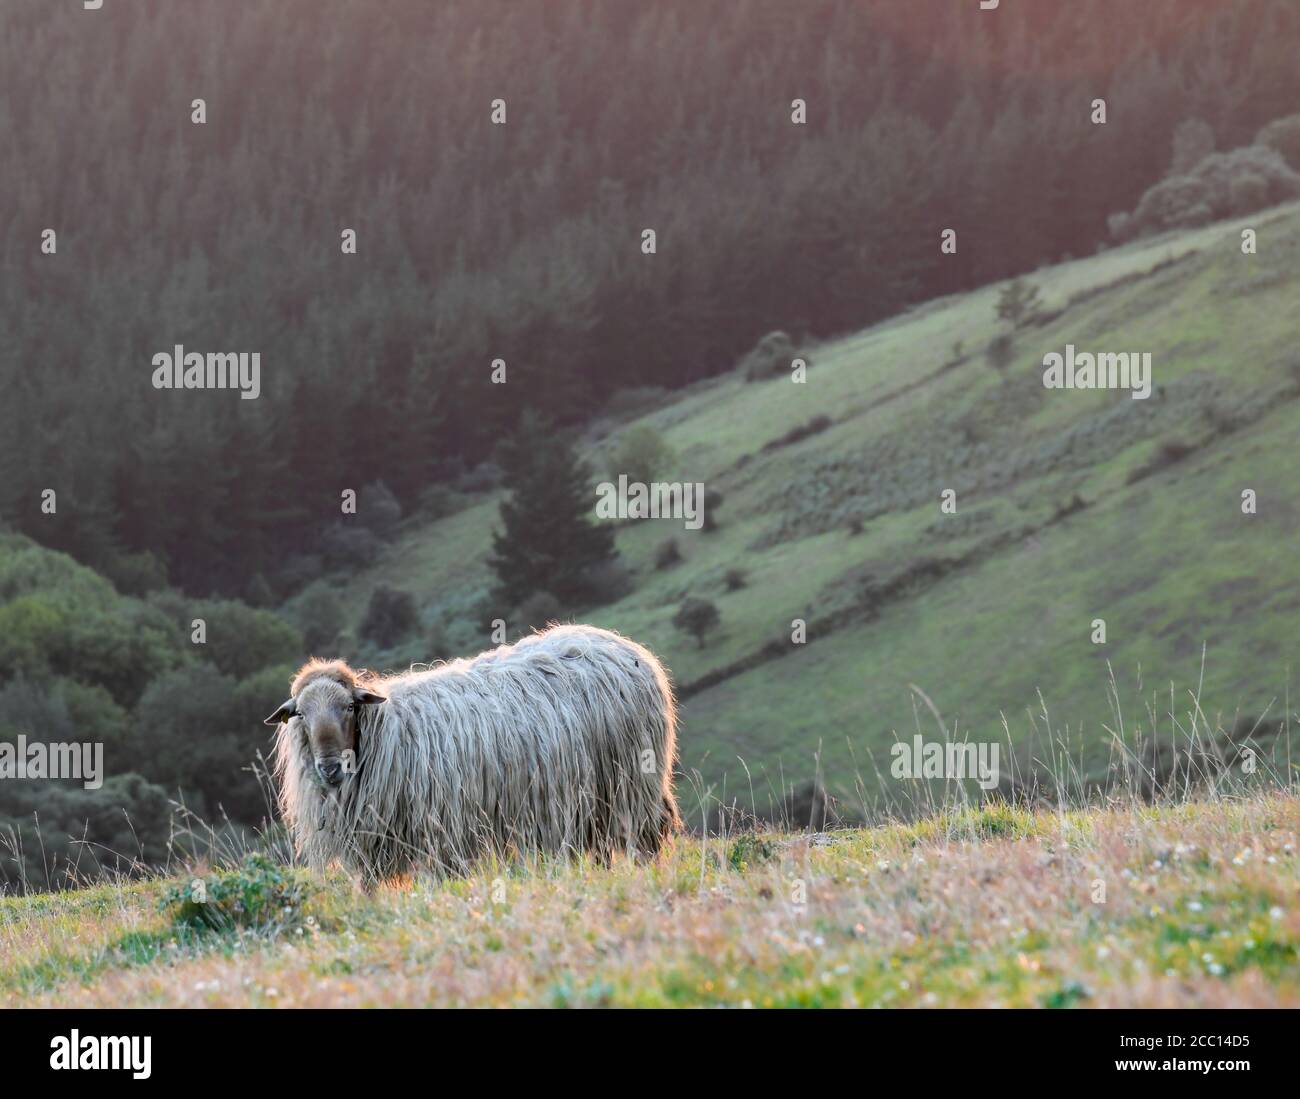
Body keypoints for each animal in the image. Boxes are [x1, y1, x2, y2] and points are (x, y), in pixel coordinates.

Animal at [265, 624, 681, 889]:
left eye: (350, 706)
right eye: (300, 714)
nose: (330, 768)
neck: (386, 732)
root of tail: (625, 649)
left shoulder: (439, 829)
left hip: (632, 781)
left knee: (645, 837)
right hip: (594, 792)